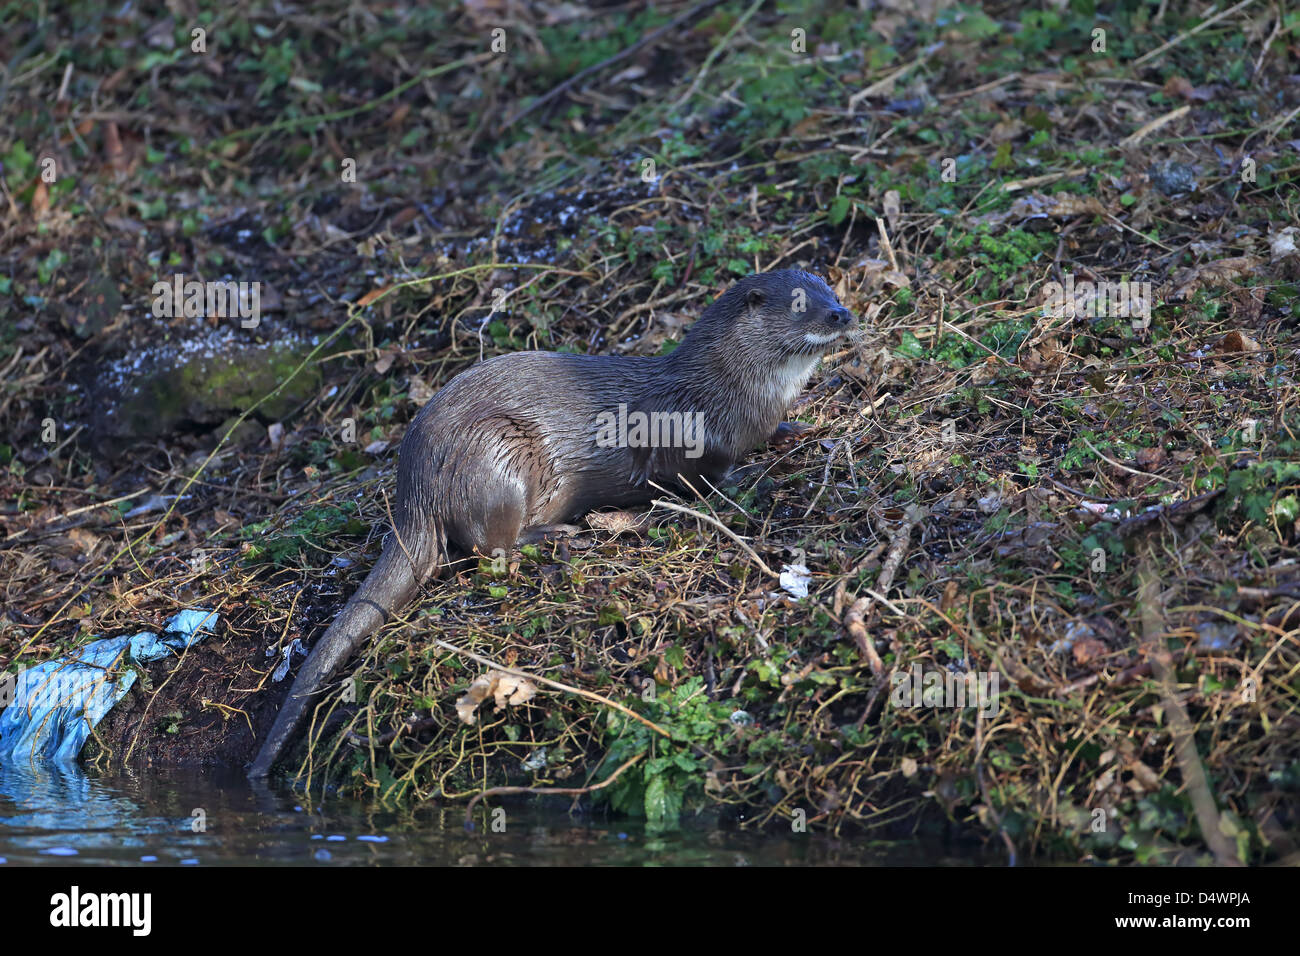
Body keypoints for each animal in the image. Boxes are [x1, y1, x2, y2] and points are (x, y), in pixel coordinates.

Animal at [248, 269, 857, 777]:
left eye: (829, 287)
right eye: (802, 302)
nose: (843, 314)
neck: (724, 391)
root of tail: (413, 489)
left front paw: (795, 429)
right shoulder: (675, 437)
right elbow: (693, 479)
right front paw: (748, 480)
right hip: (498, 452)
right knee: (488, 551)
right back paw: (554, 535)